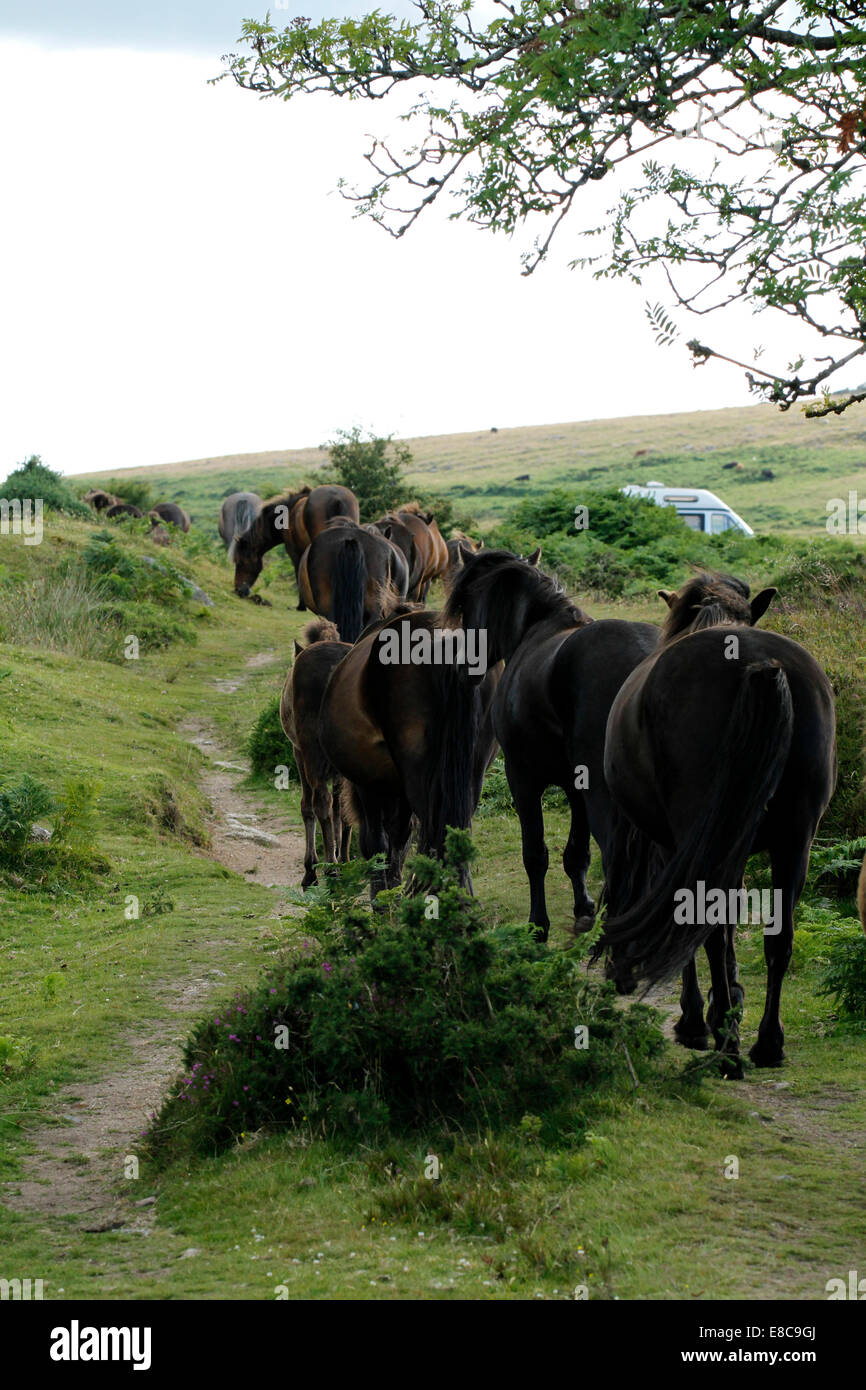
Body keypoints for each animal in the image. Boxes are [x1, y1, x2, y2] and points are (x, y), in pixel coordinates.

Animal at [279, 619, 352, 889]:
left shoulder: (299, 753)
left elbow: (306, 805)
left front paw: (311, 868)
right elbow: (341, 809)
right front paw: (343, 856)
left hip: (311, 754)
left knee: (320, 802)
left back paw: (328, 867)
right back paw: (341, 861)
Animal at [319, 608, 501, 894]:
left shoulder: (368, 784)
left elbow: (377, 843)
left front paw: (382, 895)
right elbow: (399, 840)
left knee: (434, 830)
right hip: (470, 773)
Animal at [601, 606, 837, 1075]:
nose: (620, 975)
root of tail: (758, 664)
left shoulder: (673, 848)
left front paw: (697, 1019)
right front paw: (727, 1002)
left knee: (705, 929)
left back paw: (727, 1049)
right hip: (795, 840)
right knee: (779, 939)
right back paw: (767, 1044)